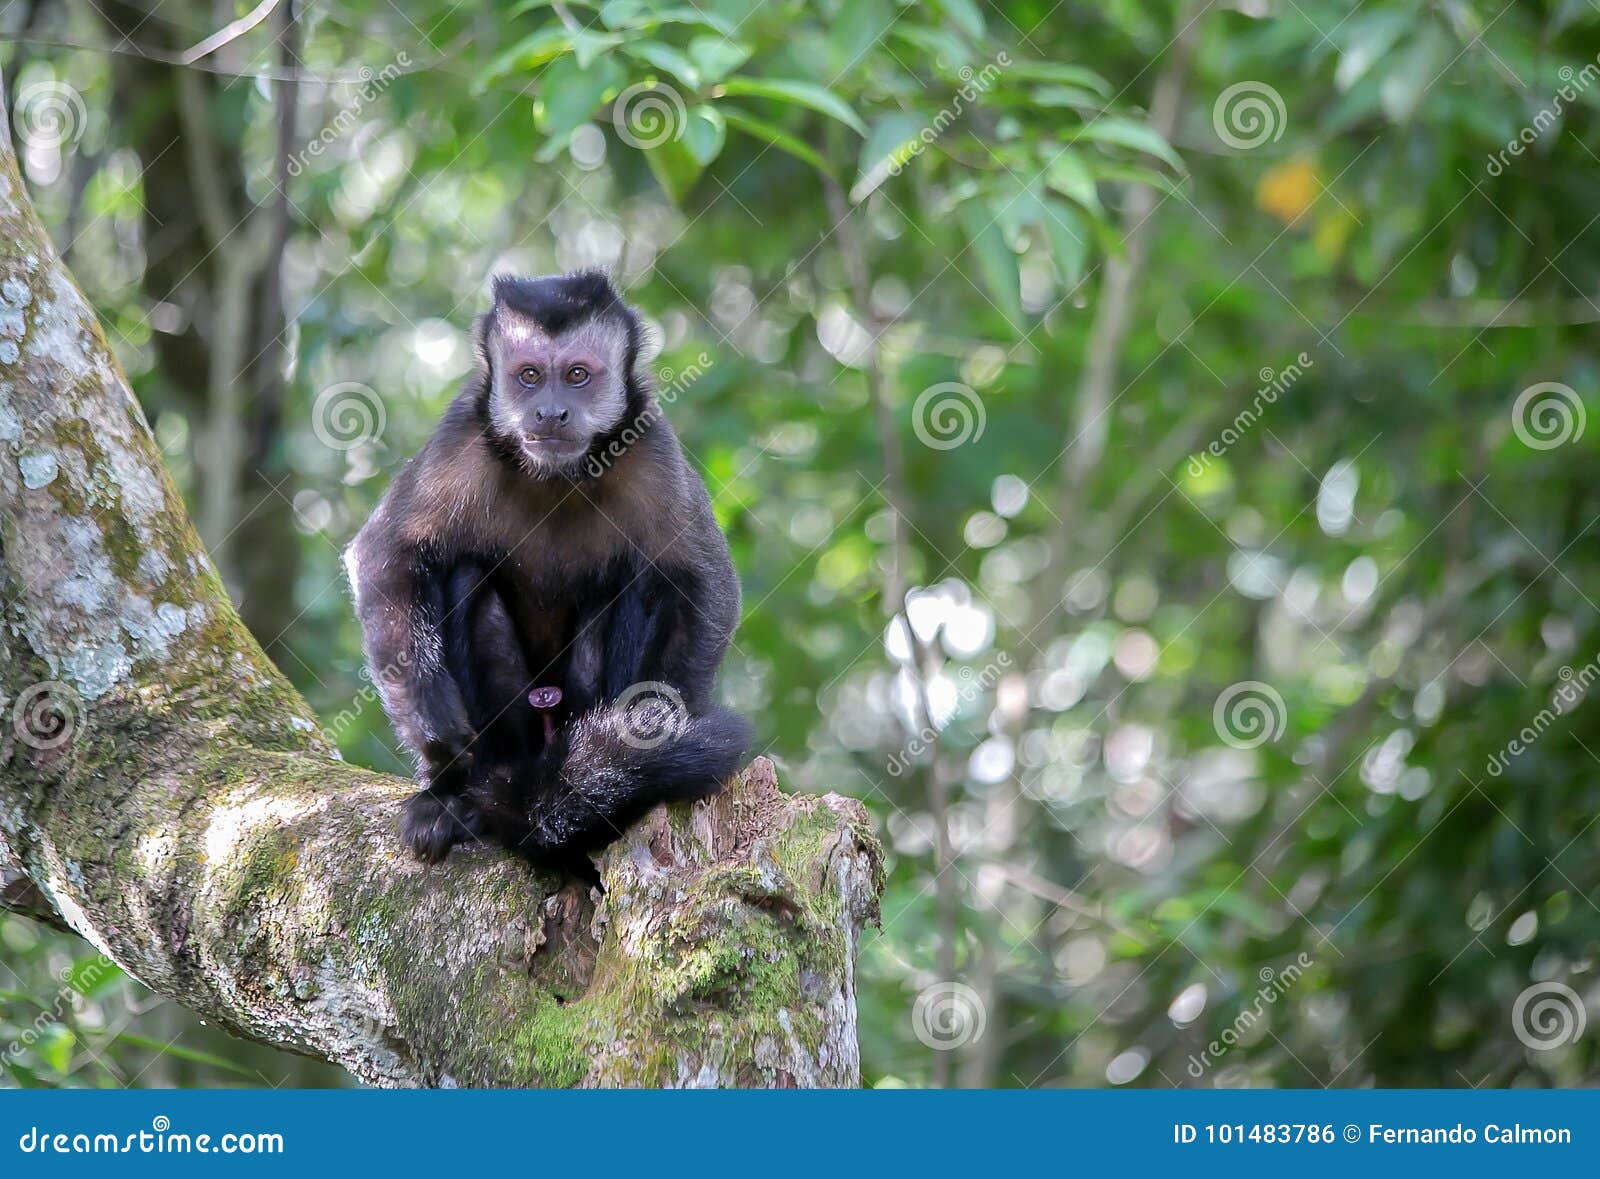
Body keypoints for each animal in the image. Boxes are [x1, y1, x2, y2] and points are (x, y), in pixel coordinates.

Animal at [343, 270, 750, 879]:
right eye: (530, 376)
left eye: (577, 375)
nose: (551, 412)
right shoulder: (459, 438)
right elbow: (386, 554)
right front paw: (435, 736)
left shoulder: (651, 448)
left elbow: (703, 582)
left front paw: (661, 742)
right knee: (465, 573)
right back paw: (459, 799)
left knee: (641, 580)